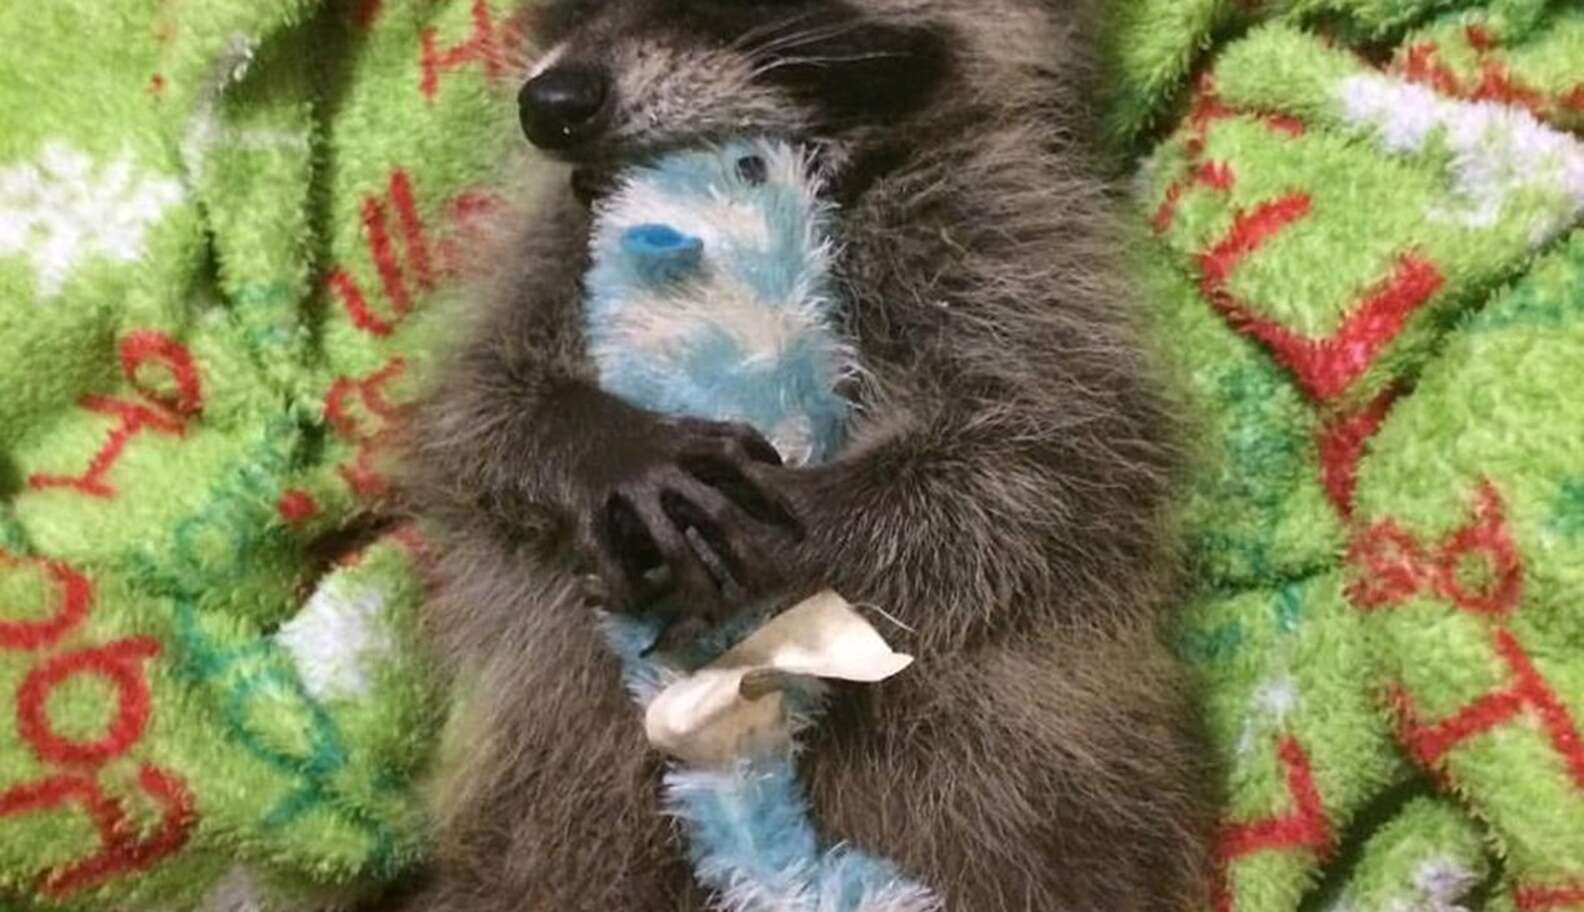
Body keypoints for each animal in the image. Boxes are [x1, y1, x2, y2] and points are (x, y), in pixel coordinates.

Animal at [400, 0, 1215, 909]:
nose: (549, 107)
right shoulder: (551, 254)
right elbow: (476, 413)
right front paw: (603, 444)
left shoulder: (1018, 243)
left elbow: (1037, 466)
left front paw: (801, 524)